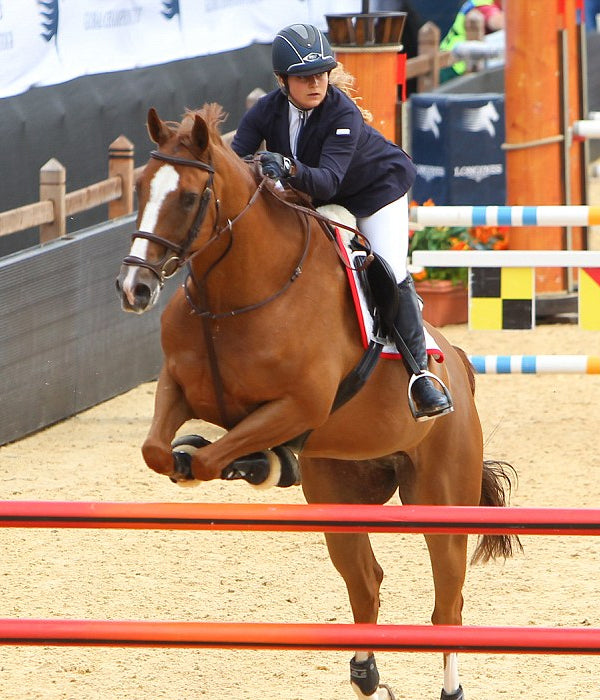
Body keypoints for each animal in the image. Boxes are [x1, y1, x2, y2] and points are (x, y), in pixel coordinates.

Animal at [115, 104, 520, 700]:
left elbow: (214, 456)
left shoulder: (299, 407)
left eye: (188, 197)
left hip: (440, 498)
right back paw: (365, 672)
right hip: (338, 492)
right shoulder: (179, 386)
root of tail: (459, 366)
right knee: (366, 581)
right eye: (142, 187)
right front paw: (232, 458)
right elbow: (159, 451)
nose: (134, 288)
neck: (233, 297)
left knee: (448, 603)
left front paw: (255, 463)